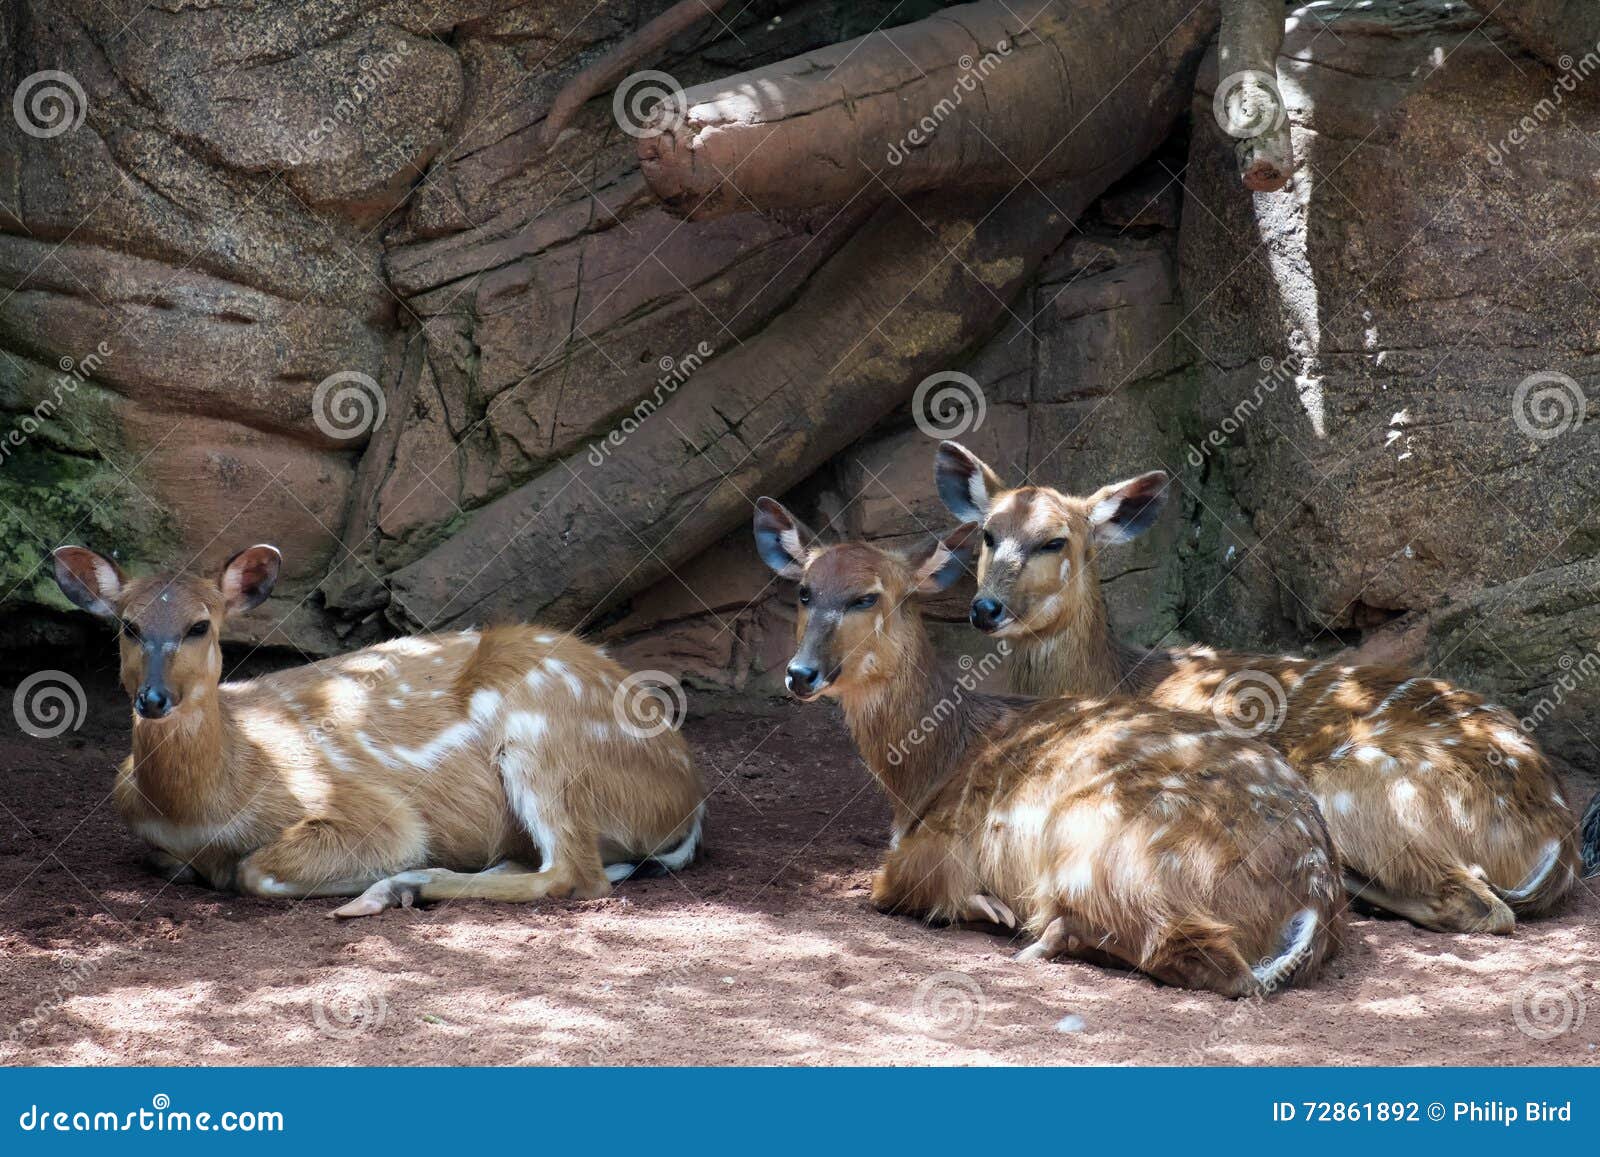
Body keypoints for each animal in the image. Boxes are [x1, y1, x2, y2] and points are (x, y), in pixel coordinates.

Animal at [51, 544, 704, 918]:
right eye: (129, 626)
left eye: (199, 626)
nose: (153, 698)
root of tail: (687, 799)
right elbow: (172, 864)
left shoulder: (368, 809)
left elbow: (252, 871)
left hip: (541, 736)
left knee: (575, 874)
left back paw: (396, 888)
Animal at [753, 498, 1343, 997]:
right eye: (805, 591)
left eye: (867, 596)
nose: (799, 673)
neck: (929, 770)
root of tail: (1313, 899)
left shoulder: (939, 844)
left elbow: (886, 885)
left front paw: (986, 906)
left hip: (1108, 847)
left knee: (1210, 958)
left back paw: (1040, 933)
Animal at [935, 441, 1586, 934]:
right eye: (988, 533)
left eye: (1055, 540)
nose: (985, 609)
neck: (1121, 675)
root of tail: (1560, 839)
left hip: (1362, 783)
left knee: (1480, 902)